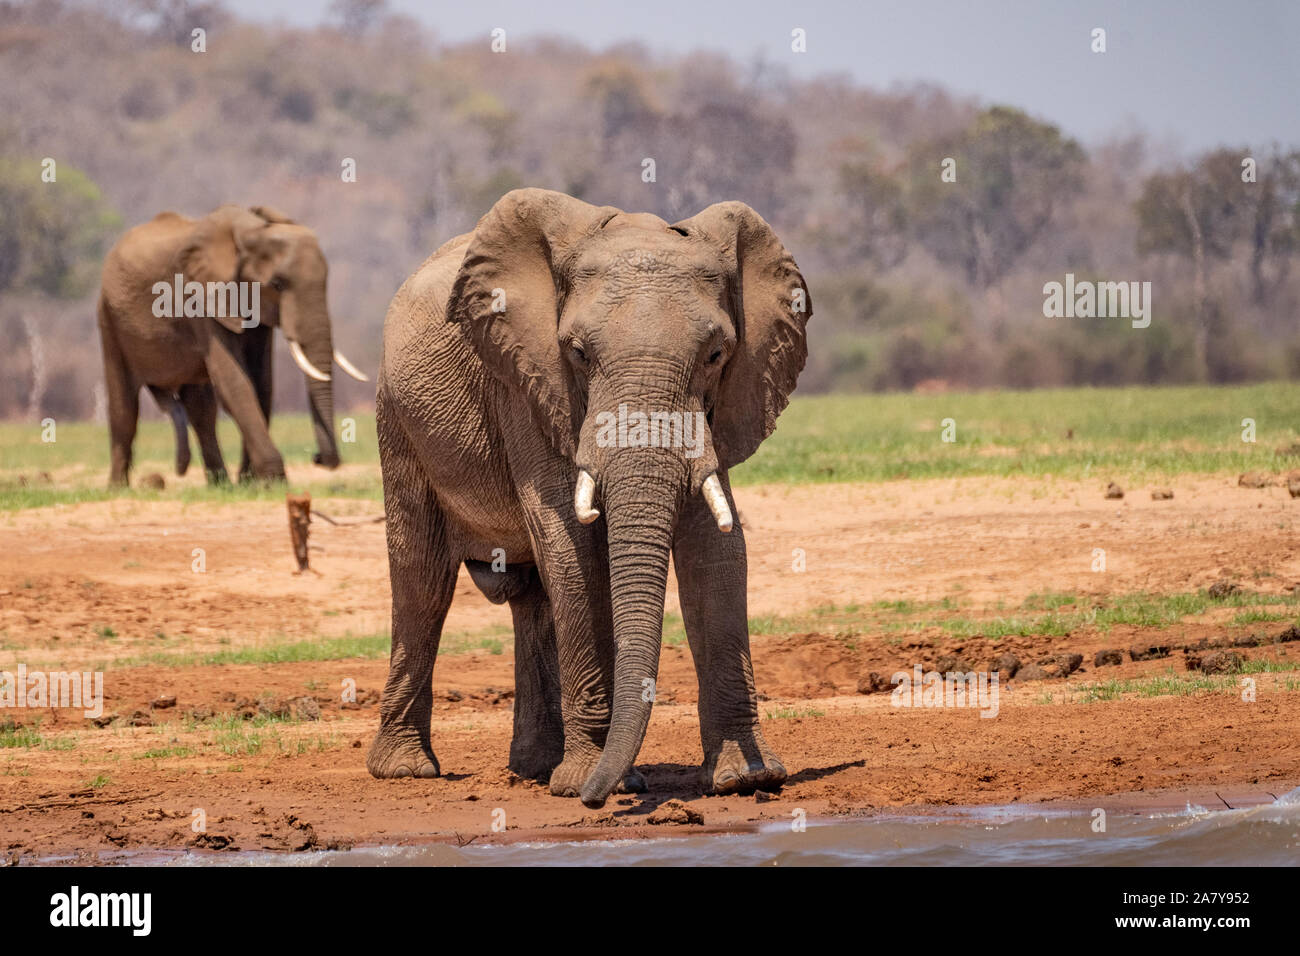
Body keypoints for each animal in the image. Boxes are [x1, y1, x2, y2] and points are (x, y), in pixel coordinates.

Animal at [96, 204, 368, 486]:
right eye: (277, 284)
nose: (317, 458)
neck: (249, 232)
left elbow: (261, 383)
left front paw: (251, 483)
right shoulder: (200, 297)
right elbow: (235, 380)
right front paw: (274, 481)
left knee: (201, 408)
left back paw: (220, 484)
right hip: (108, 318)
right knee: (123, 407)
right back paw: (119, 488)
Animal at [368, 188, 811, 809]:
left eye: (717, 354)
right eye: (577, 353)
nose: (597, 801)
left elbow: (716, 547)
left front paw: (748, 780)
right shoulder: (526, 381)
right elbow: (571, 545)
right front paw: (588, 782)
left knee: (530, 599)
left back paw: (533, 769)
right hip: (397, 419)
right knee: (421, 580)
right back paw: (408, 771)